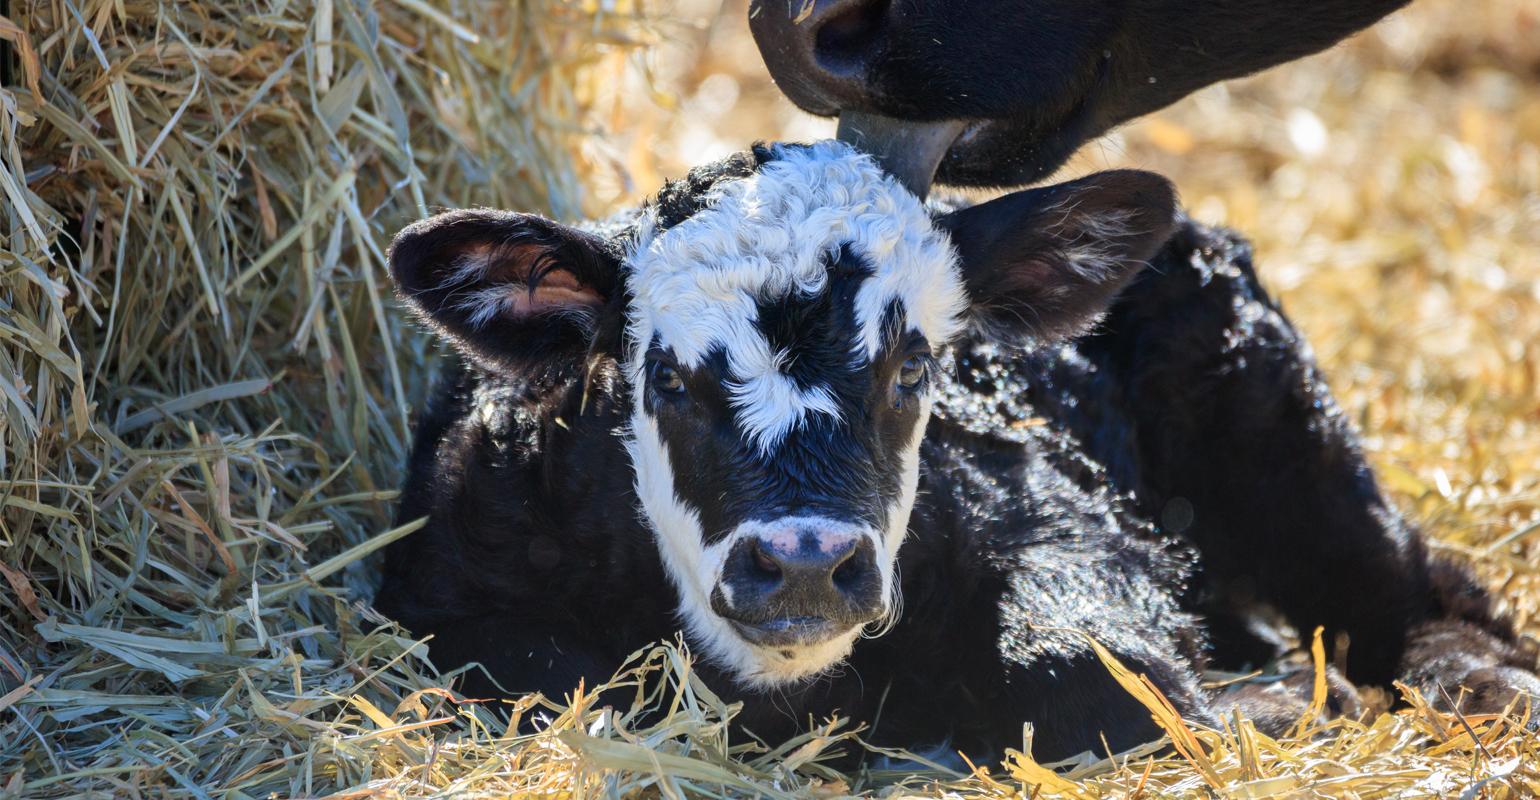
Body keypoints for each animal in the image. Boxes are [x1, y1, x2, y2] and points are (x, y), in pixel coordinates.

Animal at [374, 140, 1539, 763]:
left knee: (1413, 583)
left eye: (915, 369)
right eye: (664, 379)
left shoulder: (1065, 519)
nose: (804, 562)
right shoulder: (449, 591)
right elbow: (559, 679)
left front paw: (1283, 699)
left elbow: (1091, 674)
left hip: (1275, 420)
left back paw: (1477, 680)